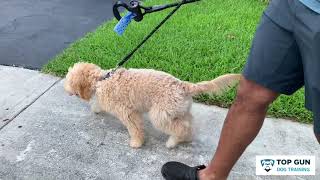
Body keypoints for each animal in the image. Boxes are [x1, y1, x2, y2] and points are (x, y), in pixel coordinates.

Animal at [64, 62, 240, 148]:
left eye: (68, 79)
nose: (65, 89)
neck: (102, 79)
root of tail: (183, 85)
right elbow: (97, 102)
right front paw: (95, 109)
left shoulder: (128, 113)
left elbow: (135, 128)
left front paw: (136, 143)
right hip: (179, 111)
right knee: (188, 125)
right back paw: (185, 139)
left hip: (159, 115)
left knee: (180, 128)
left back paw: (172, 142)